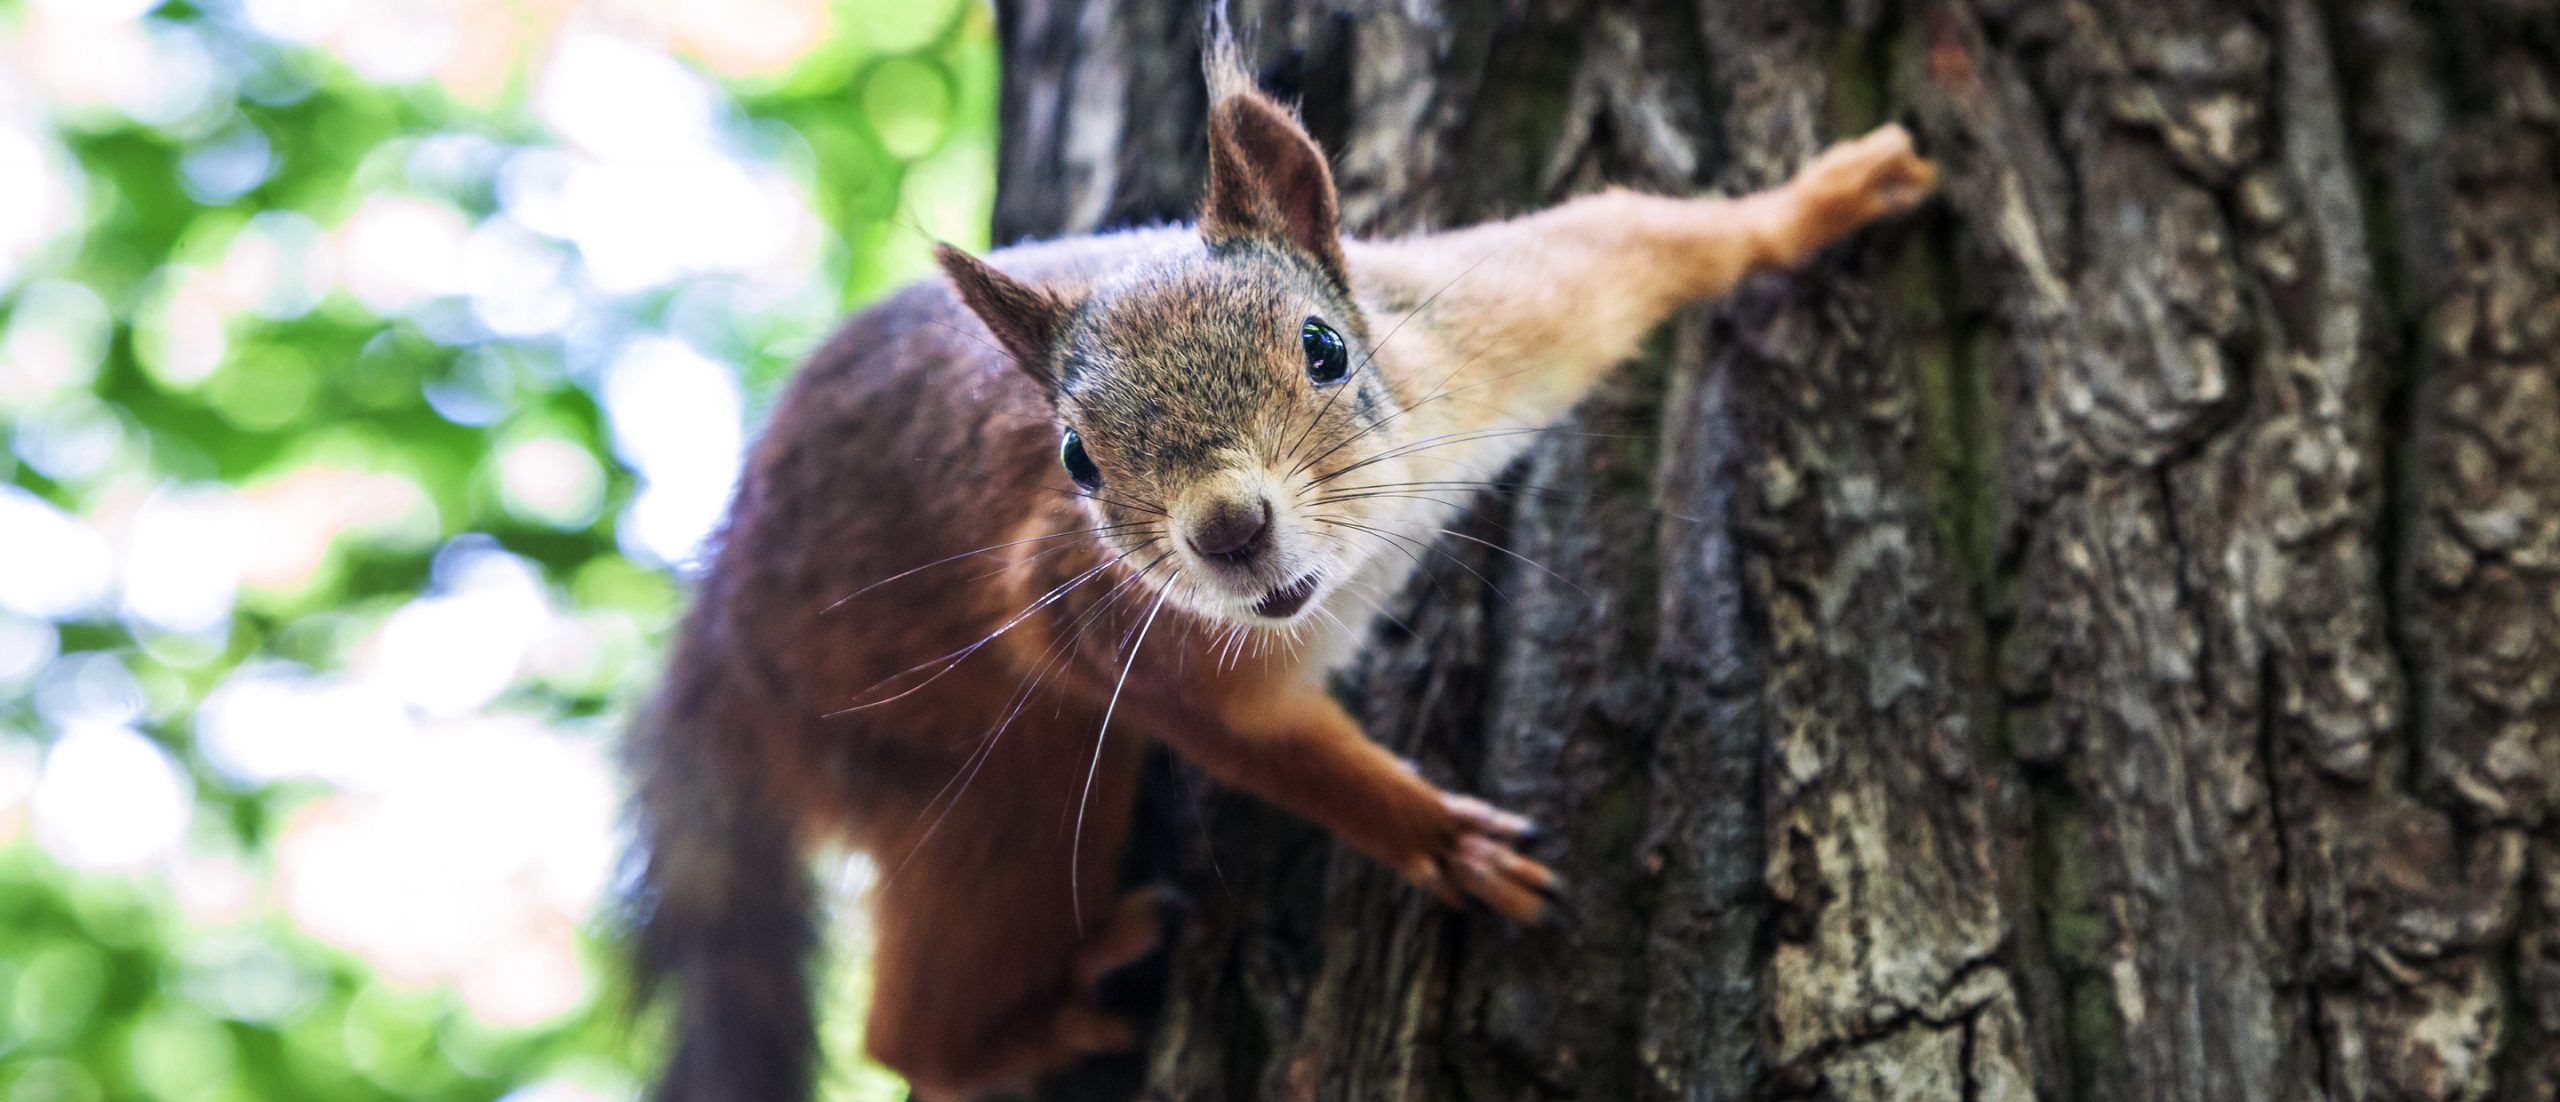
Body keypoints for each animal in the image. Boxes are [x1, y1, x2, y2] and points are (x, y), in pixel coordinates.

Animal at [625, 24, 1936, 1102]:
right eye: (1074, 458)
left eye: (1324, 347)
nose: (1225, 532)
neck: (1349, 564)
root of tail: (719, 641)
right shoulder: (1104, 620)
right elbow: (1270, 747)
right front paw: (1437, 839)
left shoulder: (1494, 330)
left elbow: (1638, 233)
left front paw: (1828, 196)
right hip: (979, 756)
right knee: (916, 1021)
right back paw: (1051, 1011)